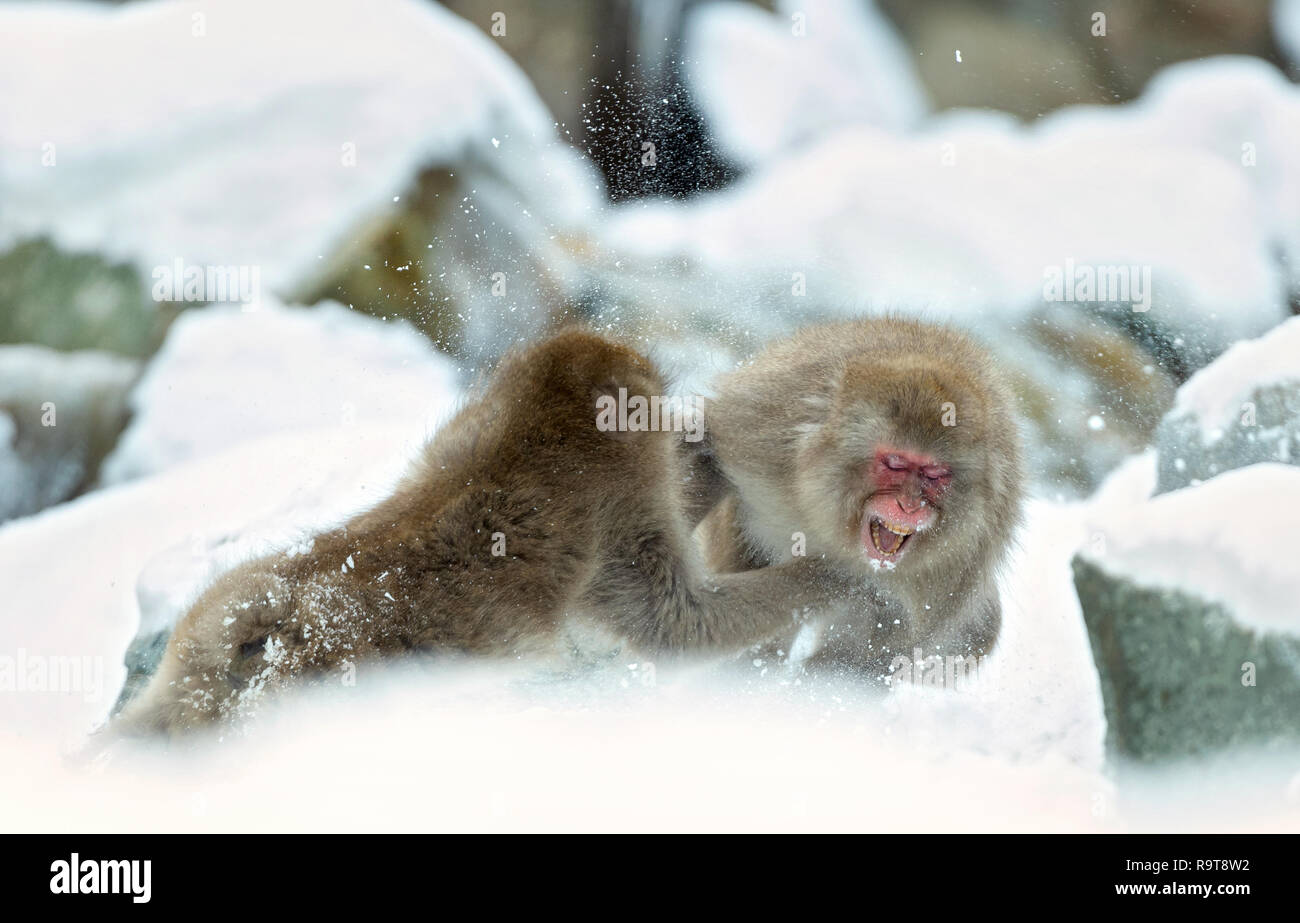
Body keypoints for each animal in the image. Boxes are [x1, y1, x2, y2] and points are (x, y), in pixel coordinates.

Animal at [115, 328, 868, 735]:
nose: (684, 429)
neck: (532, 423)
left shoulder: (457, 434)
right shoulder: (617, 506)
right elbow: (675, 622)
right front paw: (831, 573)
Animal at [696, 316, 1024, 681]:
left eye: (933, 474)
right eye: (895, 464)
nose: (909, 505)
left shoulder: (962, 560)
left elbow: (875, 654)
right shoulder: (766, 432)